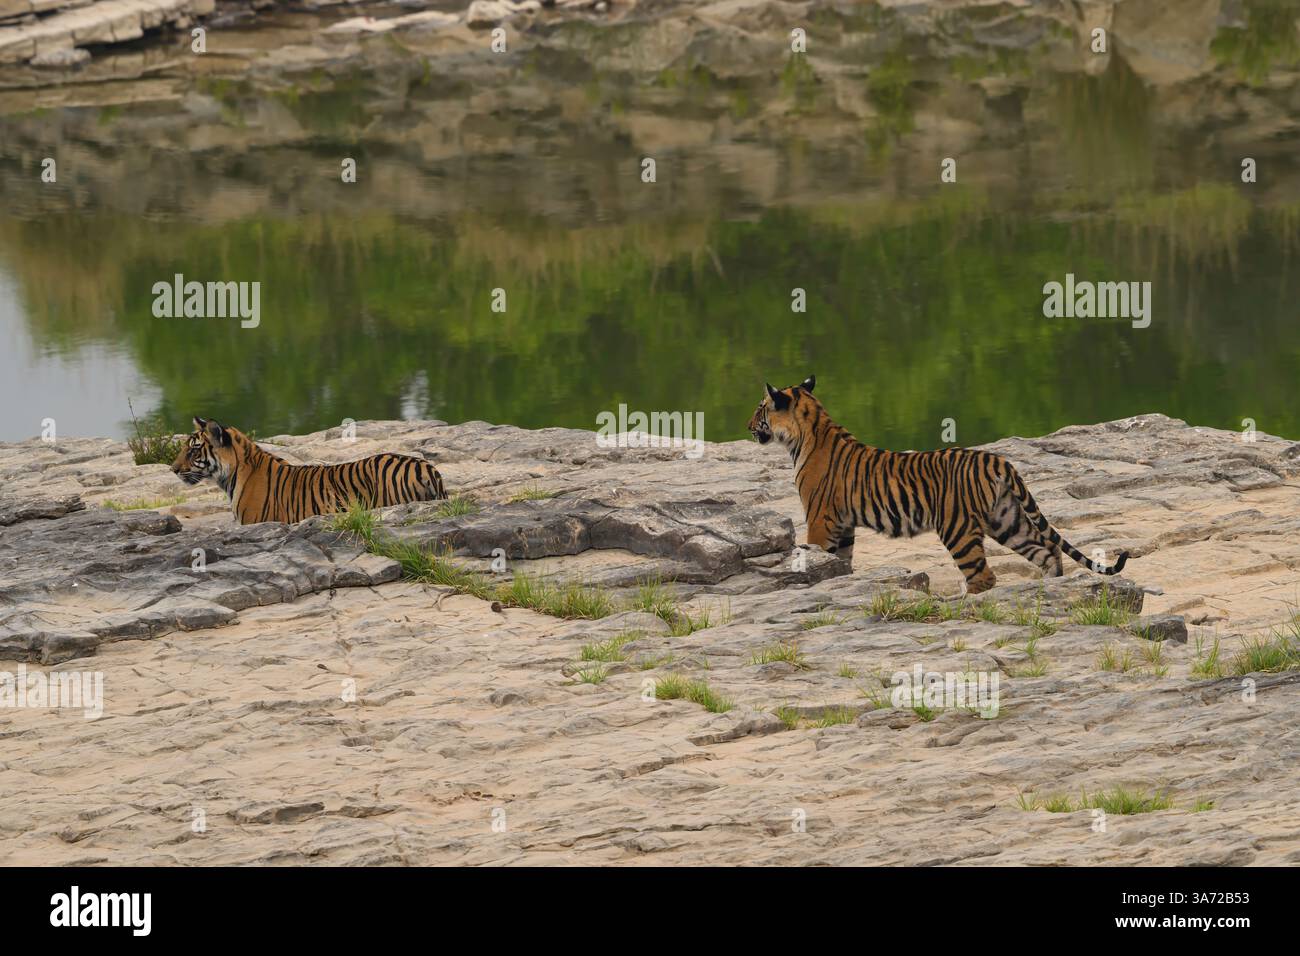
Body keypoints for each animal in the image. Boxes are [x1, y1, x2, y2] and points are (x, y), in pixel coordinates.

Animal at [747, 377, 1129, 594]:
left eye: (760, 408)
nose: (748, 426)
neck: (808, 430)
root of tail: (998, 460)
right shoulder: (843, 524)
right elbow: (842, 560)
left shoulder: (820, 518)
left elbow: (818, 552)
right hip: (1006, 519)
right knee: (1046, 551)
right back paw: (1050, 588)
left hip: (956, 527)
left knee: (983, 575)